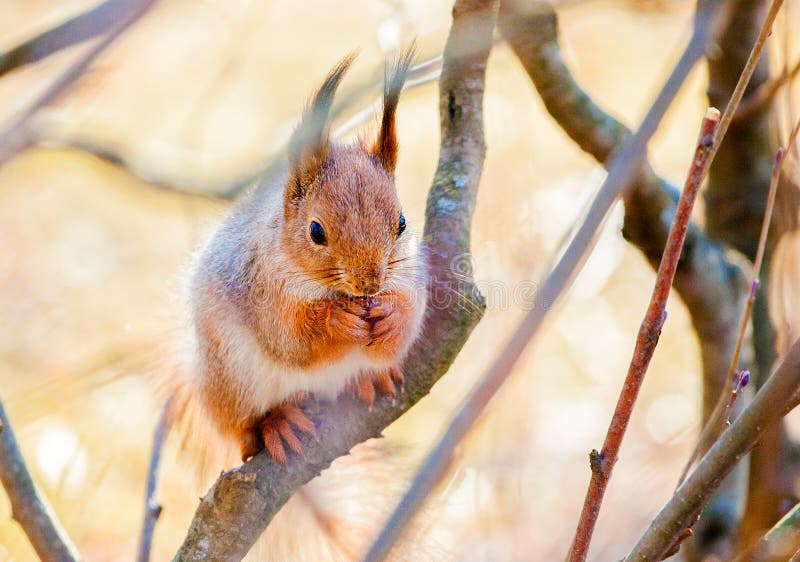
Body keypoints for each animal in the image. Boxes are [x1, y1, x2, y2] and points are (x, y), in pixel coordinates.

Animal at [169, 47, 427, 468]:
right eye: (316, 231)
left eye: (402, 223)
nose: (370, 284)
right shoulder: (262, 288)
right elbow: (292, 341)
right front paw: (338, 322)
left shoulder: (413, 278)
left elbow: (409, 317)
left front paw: (391, 317)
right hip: (232, 379)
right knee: (244, 427)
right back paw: (276, 424)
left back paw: (372, 377)